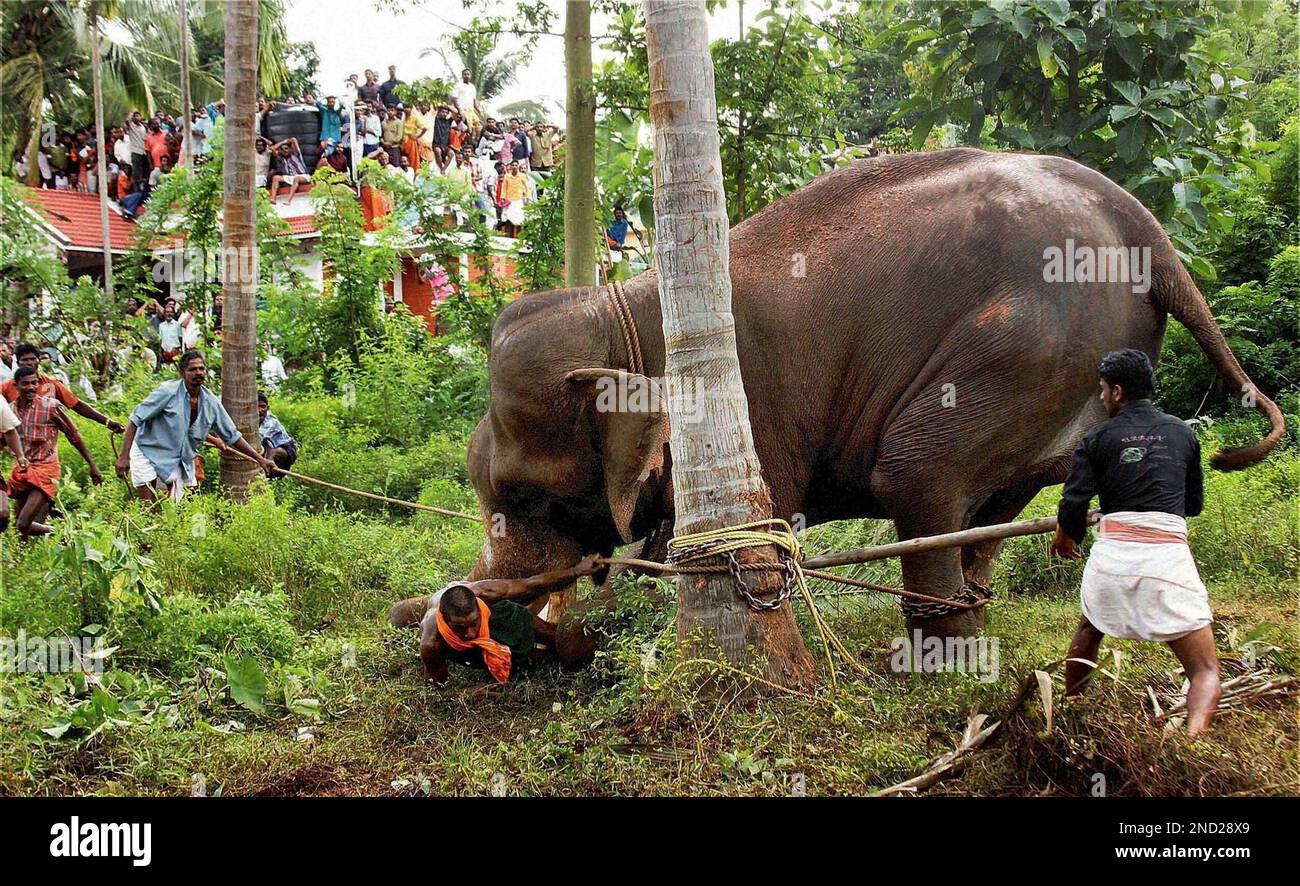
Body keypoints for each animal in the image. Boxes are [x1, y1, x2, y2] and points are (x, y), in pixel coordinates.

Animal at [390, 147, 1284, 661]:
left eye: (523, 495)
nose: (447, 607)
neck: (628, 309)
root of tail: (1151, 229)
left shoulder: (749, 405)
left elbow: (727, 532)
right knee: (1008, 492)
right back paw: (972, 610)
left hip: (1031, 336)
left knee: (917, 472)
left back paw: (939, 653)